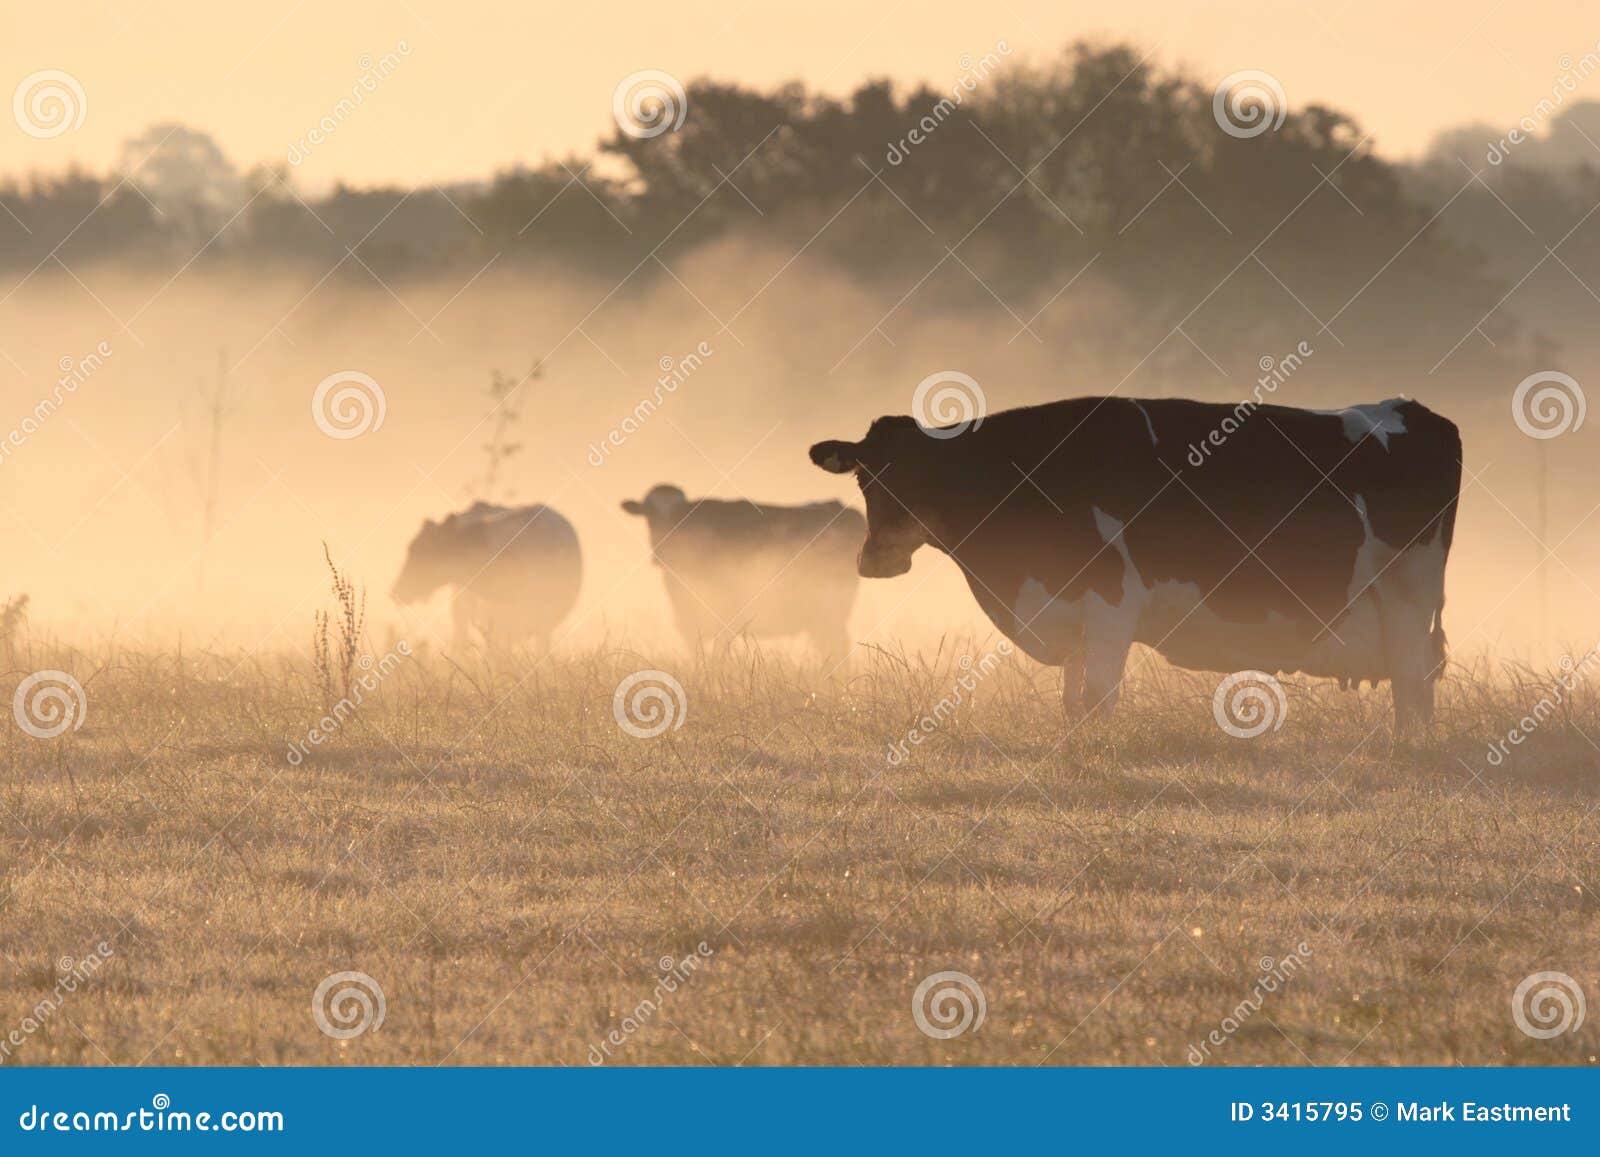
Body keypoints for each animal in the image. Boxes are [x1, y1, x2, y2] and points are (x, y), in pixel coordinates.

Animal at [621, 484, 865, 657]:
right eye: (649, 515)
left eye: (680, 515)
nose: (661, 553)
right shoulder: (688, 621)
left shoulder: (725, 615)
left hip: (831, 608)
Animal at [810, 396, 1461, 732]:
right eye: (865, 477)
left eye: (923, 477)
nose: (875, 560)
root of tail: (1411, 408)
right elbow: (1072, 702)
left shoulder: (1111, 601)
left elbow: (1099, 699)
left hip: (1408, 598)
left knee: (1411, 685)